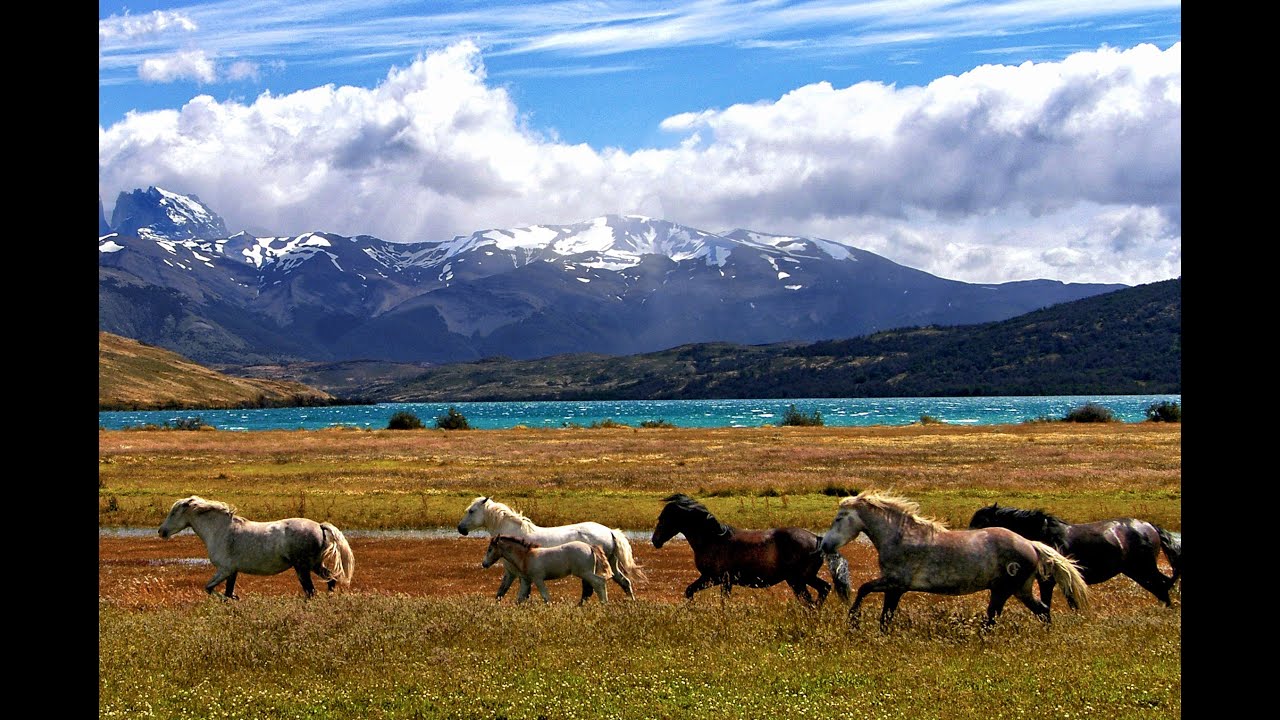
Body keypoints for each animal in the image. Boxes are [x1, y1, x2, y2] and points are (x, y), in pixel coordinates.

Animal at [157, 495, 355, 599]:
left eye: (173, 513)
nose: (161, 532)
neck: (220, 530)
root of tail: (319, 526)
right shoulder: (232, 572)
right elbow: (226, 592)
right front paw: (235, 599)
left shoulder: (224, 569)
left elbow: (210, 589)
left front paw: (235, 598)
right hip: (314, 565)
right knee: (331, 579)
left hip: (302, 568)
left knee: (311, 591)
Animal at [481, 535, 613, 605]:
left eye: (490, 549)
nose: (484, 564)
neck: (526, 557)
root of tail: (590, 546)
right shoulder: (526, 580)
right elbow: (520, 598)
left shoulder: (538, 579)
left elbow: (546, 597)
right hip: (588, 572)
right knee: (593, 587)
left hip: (585, 573)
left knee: (599, 582)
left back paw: (604, 604)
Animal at [650, 493, 851, 609]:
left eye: (664, 518)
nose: (655, 540)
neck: (713, 540)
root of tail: (817, 539)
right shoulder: (721, 581)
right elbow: (693, 592)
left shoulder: (715, 578)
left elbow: (694, 593)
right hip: (805, 578)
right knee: (824, 589)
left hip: (798, 580)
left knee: (812, 599)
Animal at [820, 491, 1089, 632]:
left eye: (839, 518)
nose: (825, 545)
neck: (900, 537)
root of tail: (1030, 544)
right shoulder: (894, 587)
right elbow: (883, 611)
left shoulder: (895, 584)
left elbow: (867, 593)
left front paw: (854, 620)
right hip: (1019, 590)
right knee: (1041, 610)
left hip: (1004, 590)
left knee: (996, 616)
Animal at [968, 503, 1180, 611]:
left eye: (981, 522)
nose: (969, 541)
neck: (1043, 534)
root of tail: (1150, 527)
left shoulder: (1048, 581)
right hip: (1138, 571)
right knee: (1162, 586)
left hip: (1143, 569)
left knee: (1161, 586)